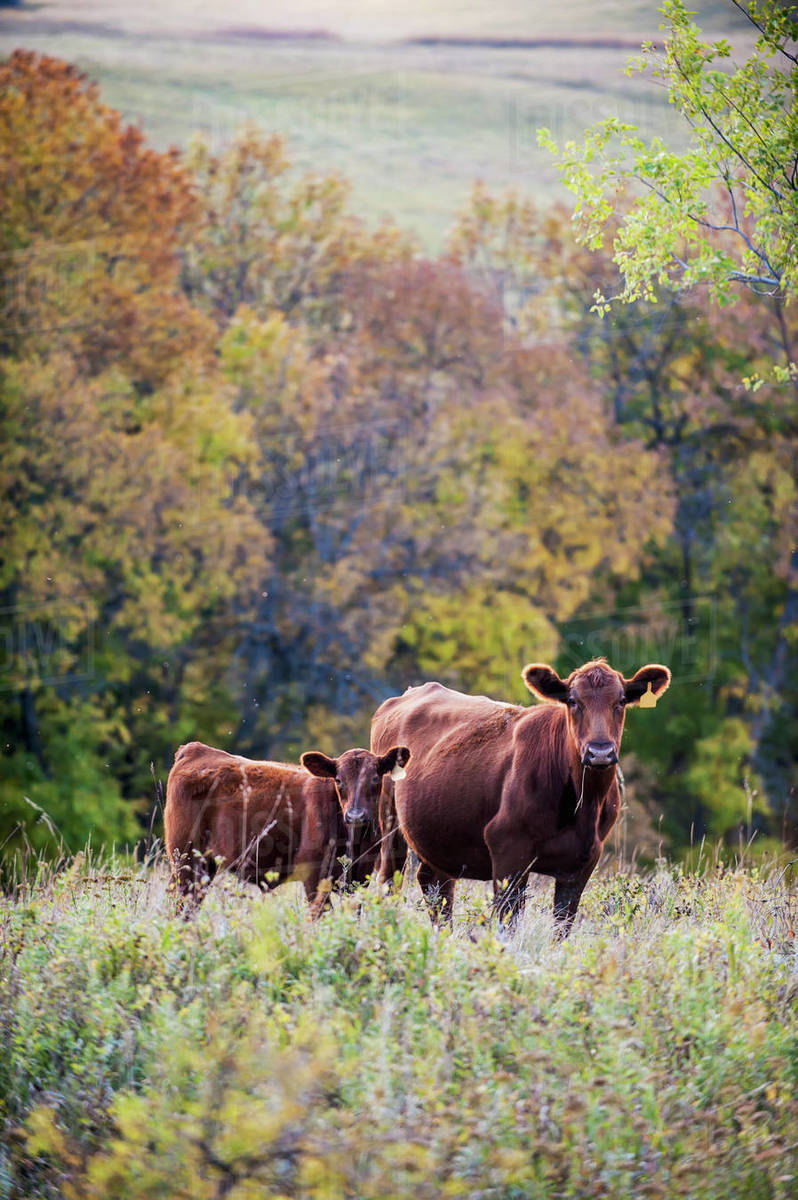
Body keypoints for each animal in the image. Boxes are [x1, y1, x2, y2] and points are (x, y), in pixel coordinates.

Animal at [164, 740, 410, 917]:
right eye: (339, 780)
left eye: (375, 778)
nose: (356, 815)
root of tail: (195, 749)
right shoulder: (314, 875)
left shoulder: (361, 878)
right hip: (186, 858)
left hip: (203, 864)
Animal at [370, 659, 670, 935]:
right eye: (573, 701)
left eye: (620, 701)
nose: (600, 752)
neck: (582, 808)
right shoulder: (508, 848)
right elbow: (507, 923)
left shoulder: (584, 860)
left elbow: (563, 925)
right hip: (389, 820)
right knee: (390, 880)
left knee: (436, 884)